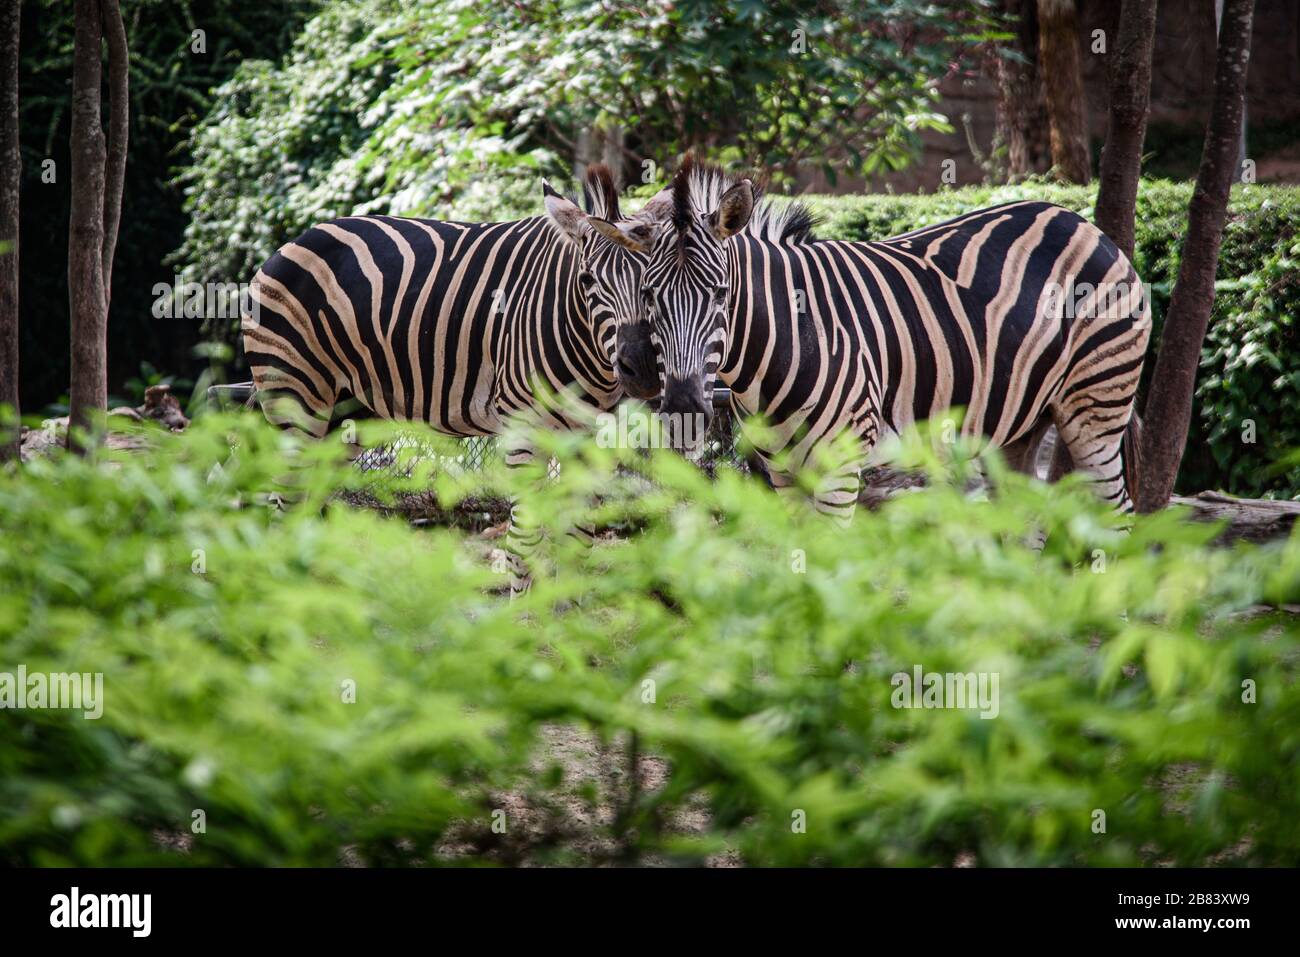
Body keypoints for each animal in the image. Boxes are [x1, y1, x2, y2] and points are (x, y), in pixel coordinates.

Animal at [240, 164, 660, 589]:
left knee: (304, 506)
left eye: (653, 281)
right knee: (284, 506)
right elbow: (525, 541)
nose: (641, 370)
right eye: (587, 280)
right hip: (296, 401)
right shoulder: (523, 430)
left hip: (348, 414)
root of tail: (297, 240)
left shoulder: (591, 440)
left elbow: (578, 539)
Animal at [578, 157, 1150, 517]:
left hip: (1096, 403)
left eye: (721, 294)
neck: (783, 341)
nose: (680, 405)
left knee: (1119, 512)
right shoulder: (784, 472)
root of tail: (1077, 219)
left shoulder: (841, 468)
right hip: (1020, 419)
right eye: (649, 295)